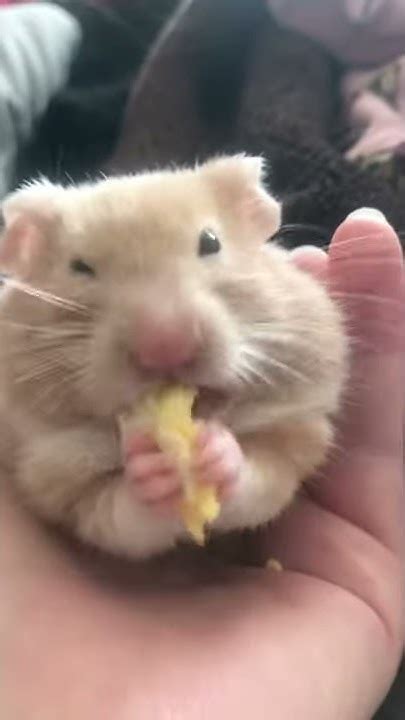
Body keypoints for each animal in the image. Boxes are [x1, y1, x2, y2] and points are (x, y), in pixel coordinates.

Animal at [0, 156, 347, 559]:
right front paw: (154, 469)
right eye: (80, 267)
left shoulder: (295, 436)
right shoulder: (58, 481)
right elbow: (121, 513)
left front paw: (216, 451)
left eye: (210, 242)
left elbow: (258, 482)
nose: (166, 347)